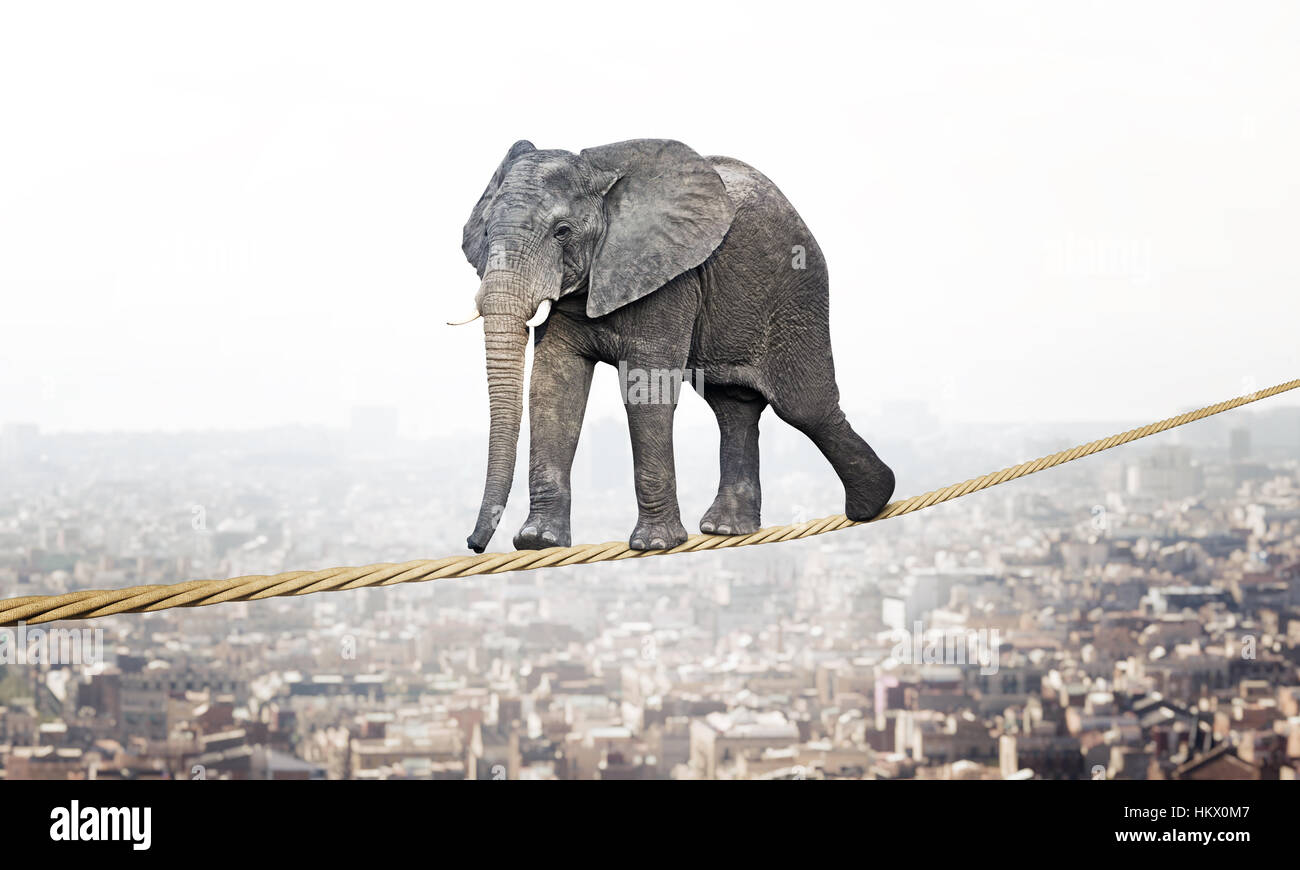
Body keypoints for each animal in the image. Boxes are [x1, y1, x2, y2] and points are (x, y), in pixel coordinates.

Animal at [454, 138, 895, 553]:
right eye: (487, 233)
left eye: (562, 231)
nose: (474, 544)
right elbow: (553, 386)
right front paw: (538, 541)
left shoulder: (670, 276)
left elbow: (646, 390)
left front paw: (654, 545)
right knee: (733, 408)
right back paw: (726, 529)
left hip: (796, 296)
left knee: (804, 406)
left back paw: (873, 502)